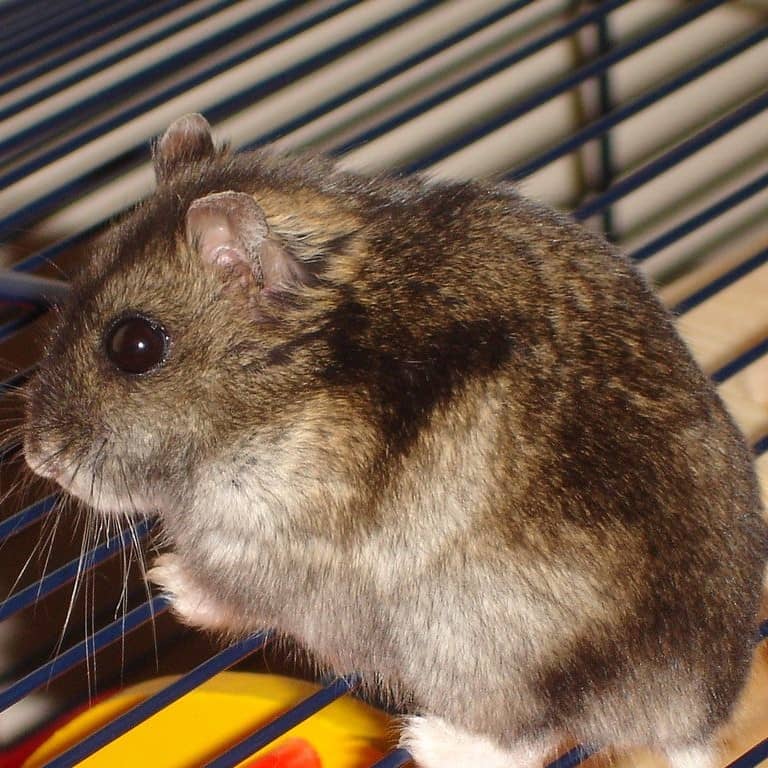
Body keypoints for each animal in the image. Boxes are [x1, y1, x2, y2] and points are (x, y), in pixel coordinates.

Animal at [23, 114, 767, 768]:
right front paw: (162, 573)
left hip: (472, 649)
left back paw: (426, 739)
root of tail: (689, 719)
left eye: (134, 345)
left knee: (534, 732)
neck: (284, 383)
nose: (38, 458)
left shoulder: (255, 547)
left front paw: (168, 578)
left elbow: (233, 591)